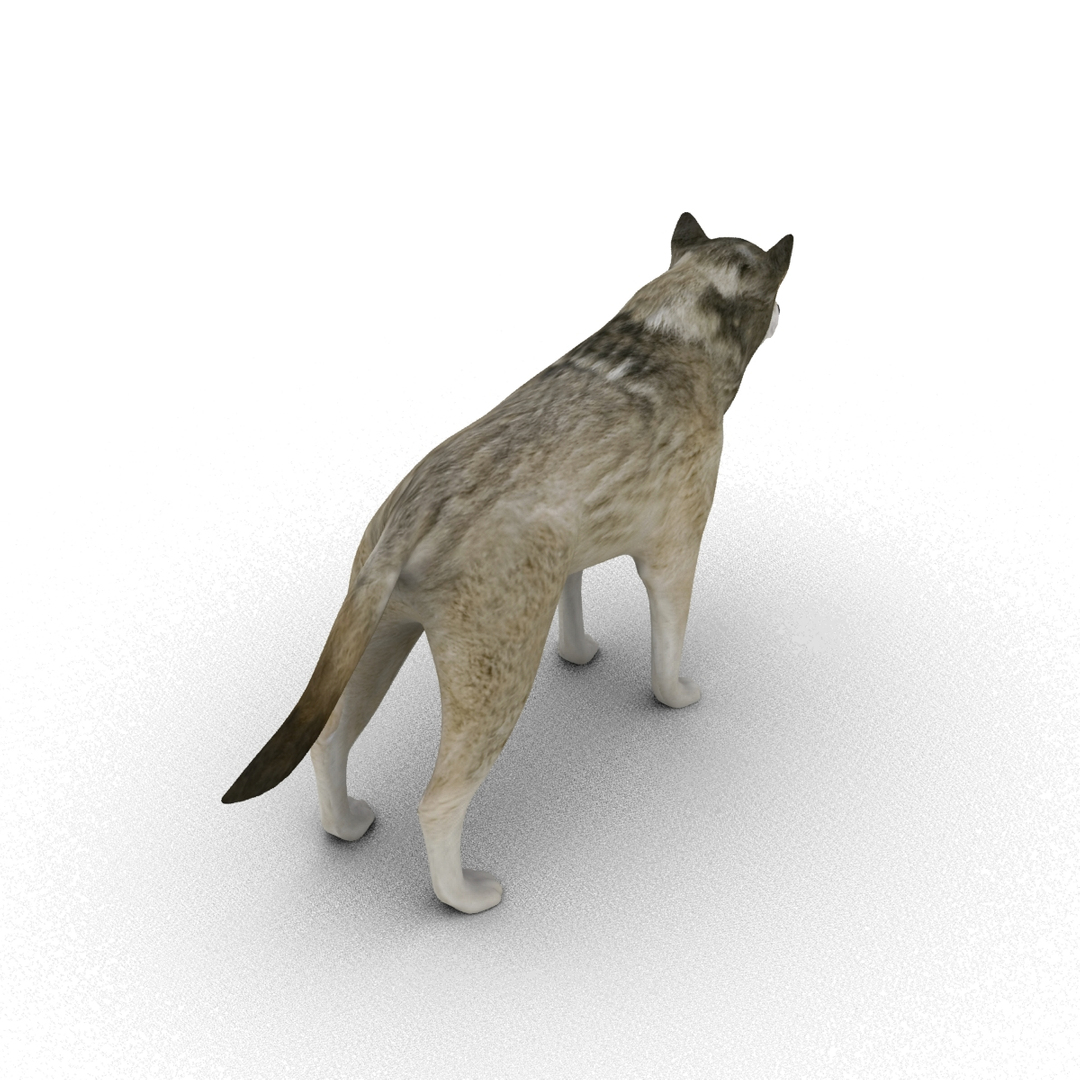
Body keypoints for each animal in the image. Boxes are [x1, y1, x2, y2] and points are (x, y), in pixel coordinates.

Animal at [222, 213, 793, 913]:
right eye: (772, 287)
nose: (785, 314)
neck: (670, 325)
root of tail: (417, 511)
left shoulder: (567, 557)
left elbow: (574, 603)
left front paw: (580, 654)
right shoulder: (674, 552)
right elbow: (667, 651)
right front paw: (678, 696)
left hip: (381, 633)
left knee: (327, 741)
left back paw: (348, 826)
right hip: (496, 671)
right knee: (438, 803)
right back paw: (464, 897)